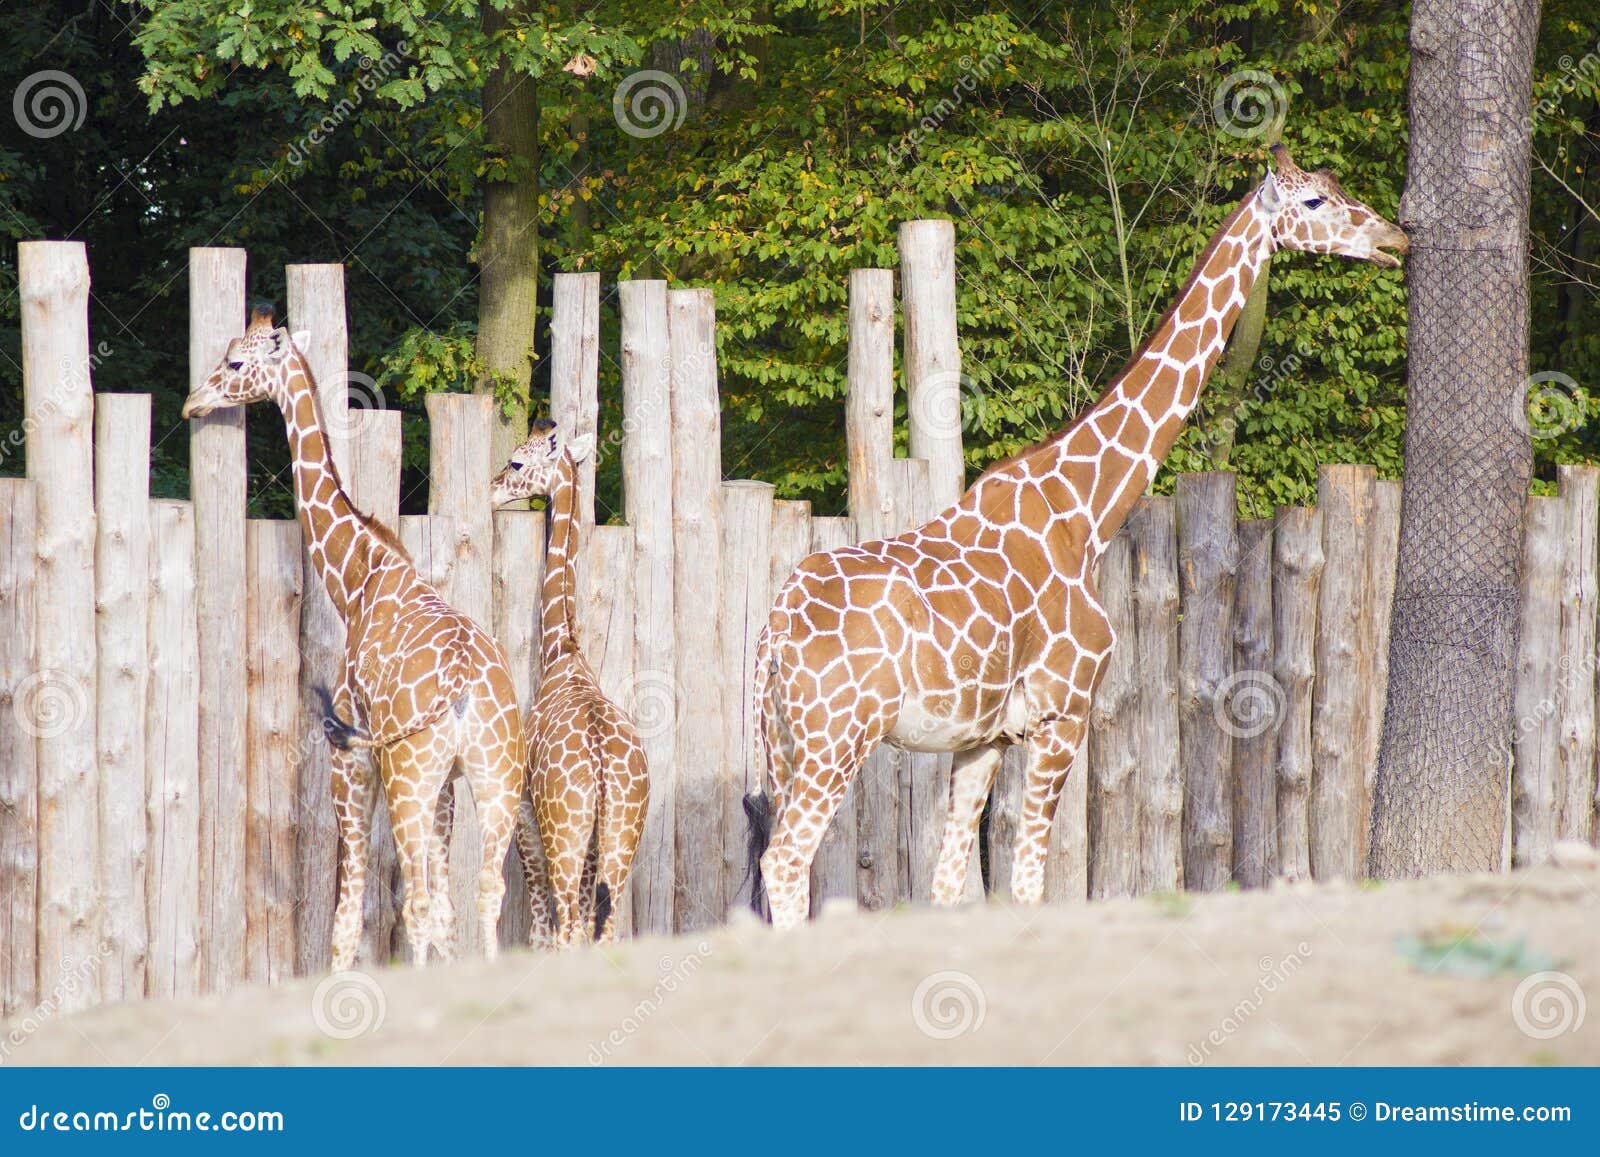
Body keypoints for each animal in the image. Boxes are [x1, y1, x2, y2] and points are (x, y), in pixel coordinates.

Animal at [181, 305, 526, 969]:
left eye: (234, 362)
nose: (192, 402)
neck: (358, 577)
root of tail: (465, 690)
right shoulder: (447, 786)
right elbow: (447, 914)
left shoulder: (350, 754)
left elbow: (348, 914)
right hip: (495, 776)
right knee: (483, 892)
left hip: (408, 776)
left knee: (413, 903)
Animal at [490, 420, 651, 948]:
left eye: (517, 461)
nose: (491, 488)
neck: (564, 652)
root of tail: (600, 769)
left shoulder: (525, 818)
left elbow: (540, 928)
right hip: (620, 837)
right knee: (605, 929)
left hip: (565, 835)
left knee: (566, 930)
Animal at [751, 144, 1409, 929]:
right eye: (1314, 202)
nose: (1396, 237)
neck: (1087, 513)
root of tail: (774, 630)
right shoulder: (1064, 712)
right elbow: (1032, 883)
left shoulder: (983, 738)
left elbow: (948, 884)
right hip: (837, 734)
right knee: (786, 860)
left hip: (788, 741)